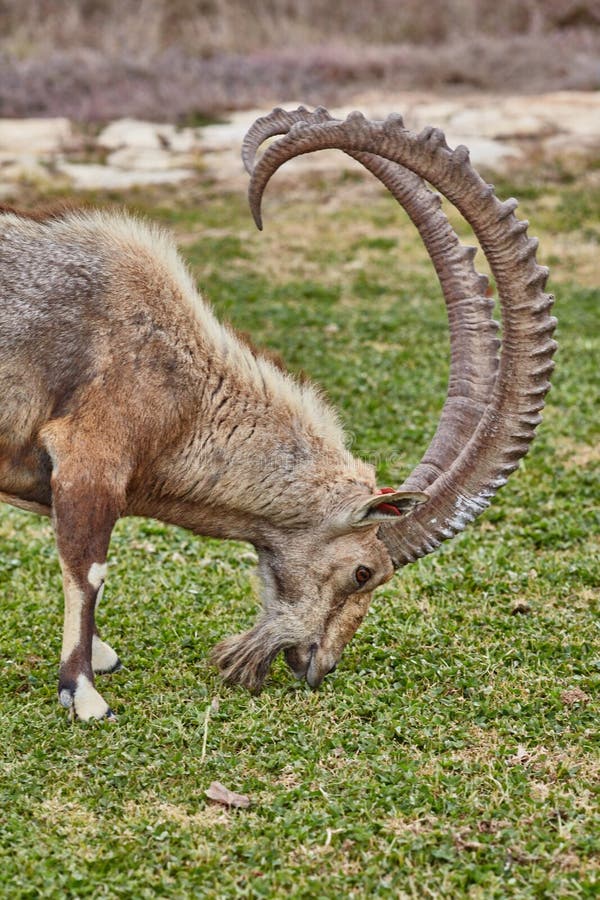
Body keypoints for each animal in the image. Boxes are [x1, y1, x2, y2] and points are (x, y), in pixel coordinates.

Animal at [0, 107, 556, 721]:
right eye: (364, 571)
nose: (318, 665)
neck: (187, 389)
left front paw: (101, 658)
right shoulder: (89, 455)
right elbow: (88, 568)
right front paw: (84, 694)